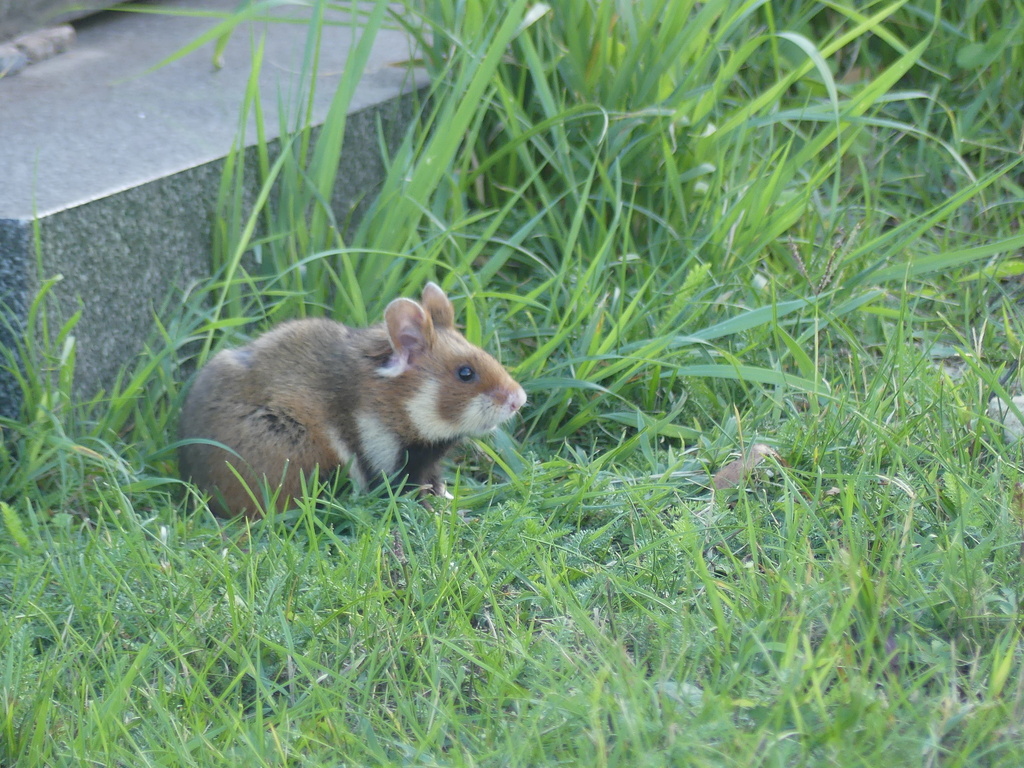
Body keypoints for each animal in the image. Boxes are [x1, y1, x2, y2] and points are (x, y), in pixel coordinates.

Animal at [177, 283, 526, 517]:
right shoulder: (391, 461)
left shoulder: (428, 464)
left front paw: (452, 502)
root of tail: (195, 487)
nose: (520, 400)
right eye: (465, 373)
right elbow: (413, 496)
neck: (402, 406)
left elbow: (437, 485)